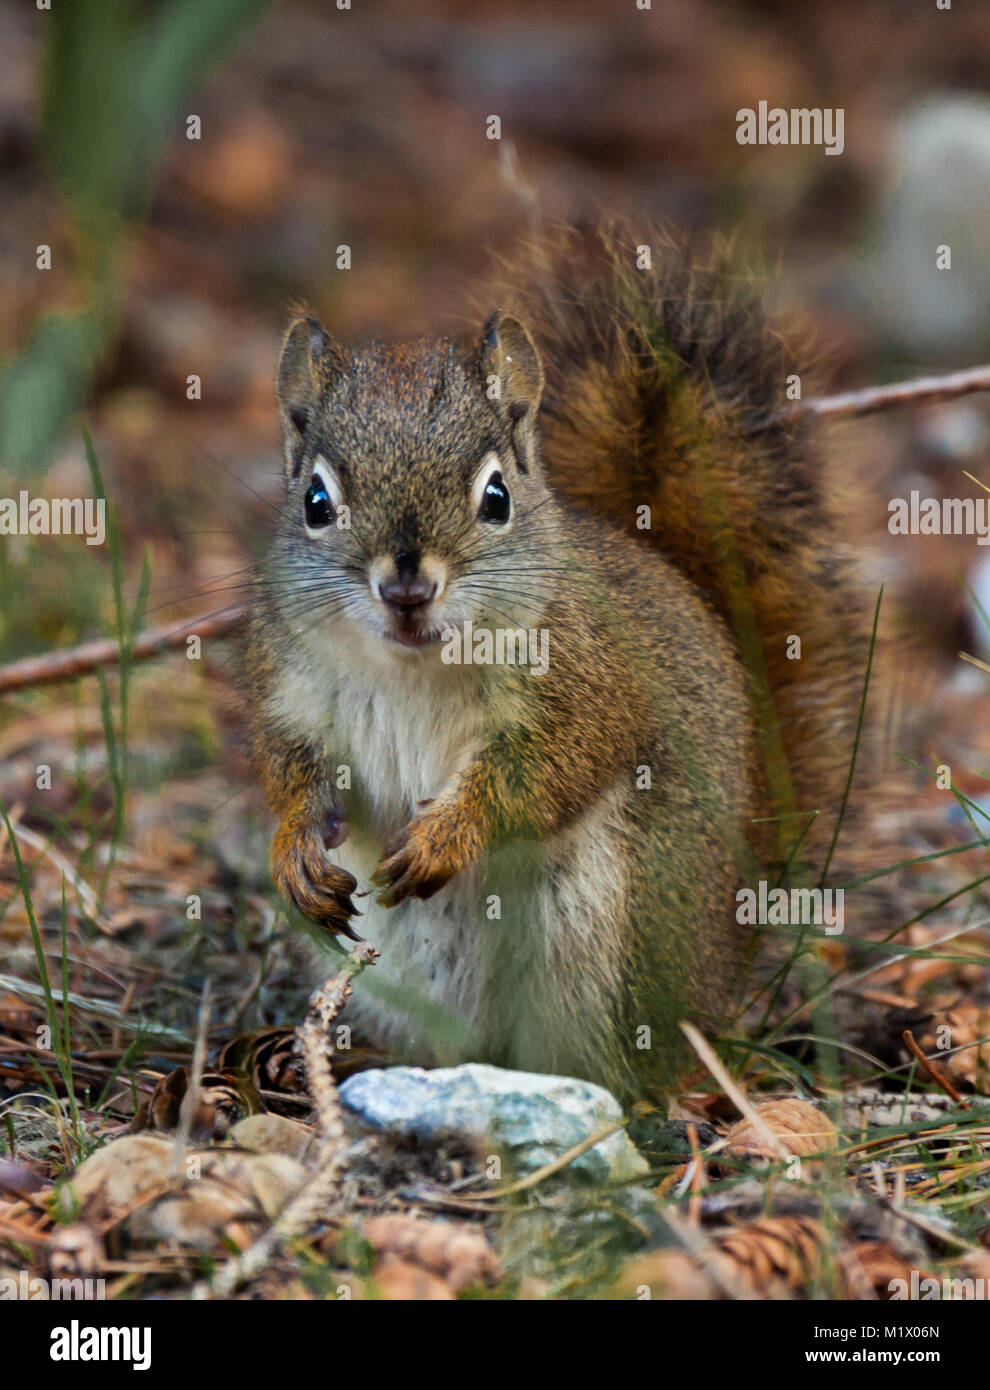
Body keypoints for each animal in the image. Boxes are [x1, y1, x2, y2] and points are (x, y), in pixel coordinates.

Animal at [246, 223, 871, 1105]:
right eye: (316, 502)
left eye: (497, 498)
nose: (406, 589)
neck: (412, 668)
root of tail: (719, 981)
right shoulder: (293, 687)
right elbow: (289, 767)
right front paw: (295, 850)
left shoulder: (593, 682)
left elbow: (550, 772)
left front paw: (449, 836)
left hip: (609, 934)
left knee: (609, 1062)